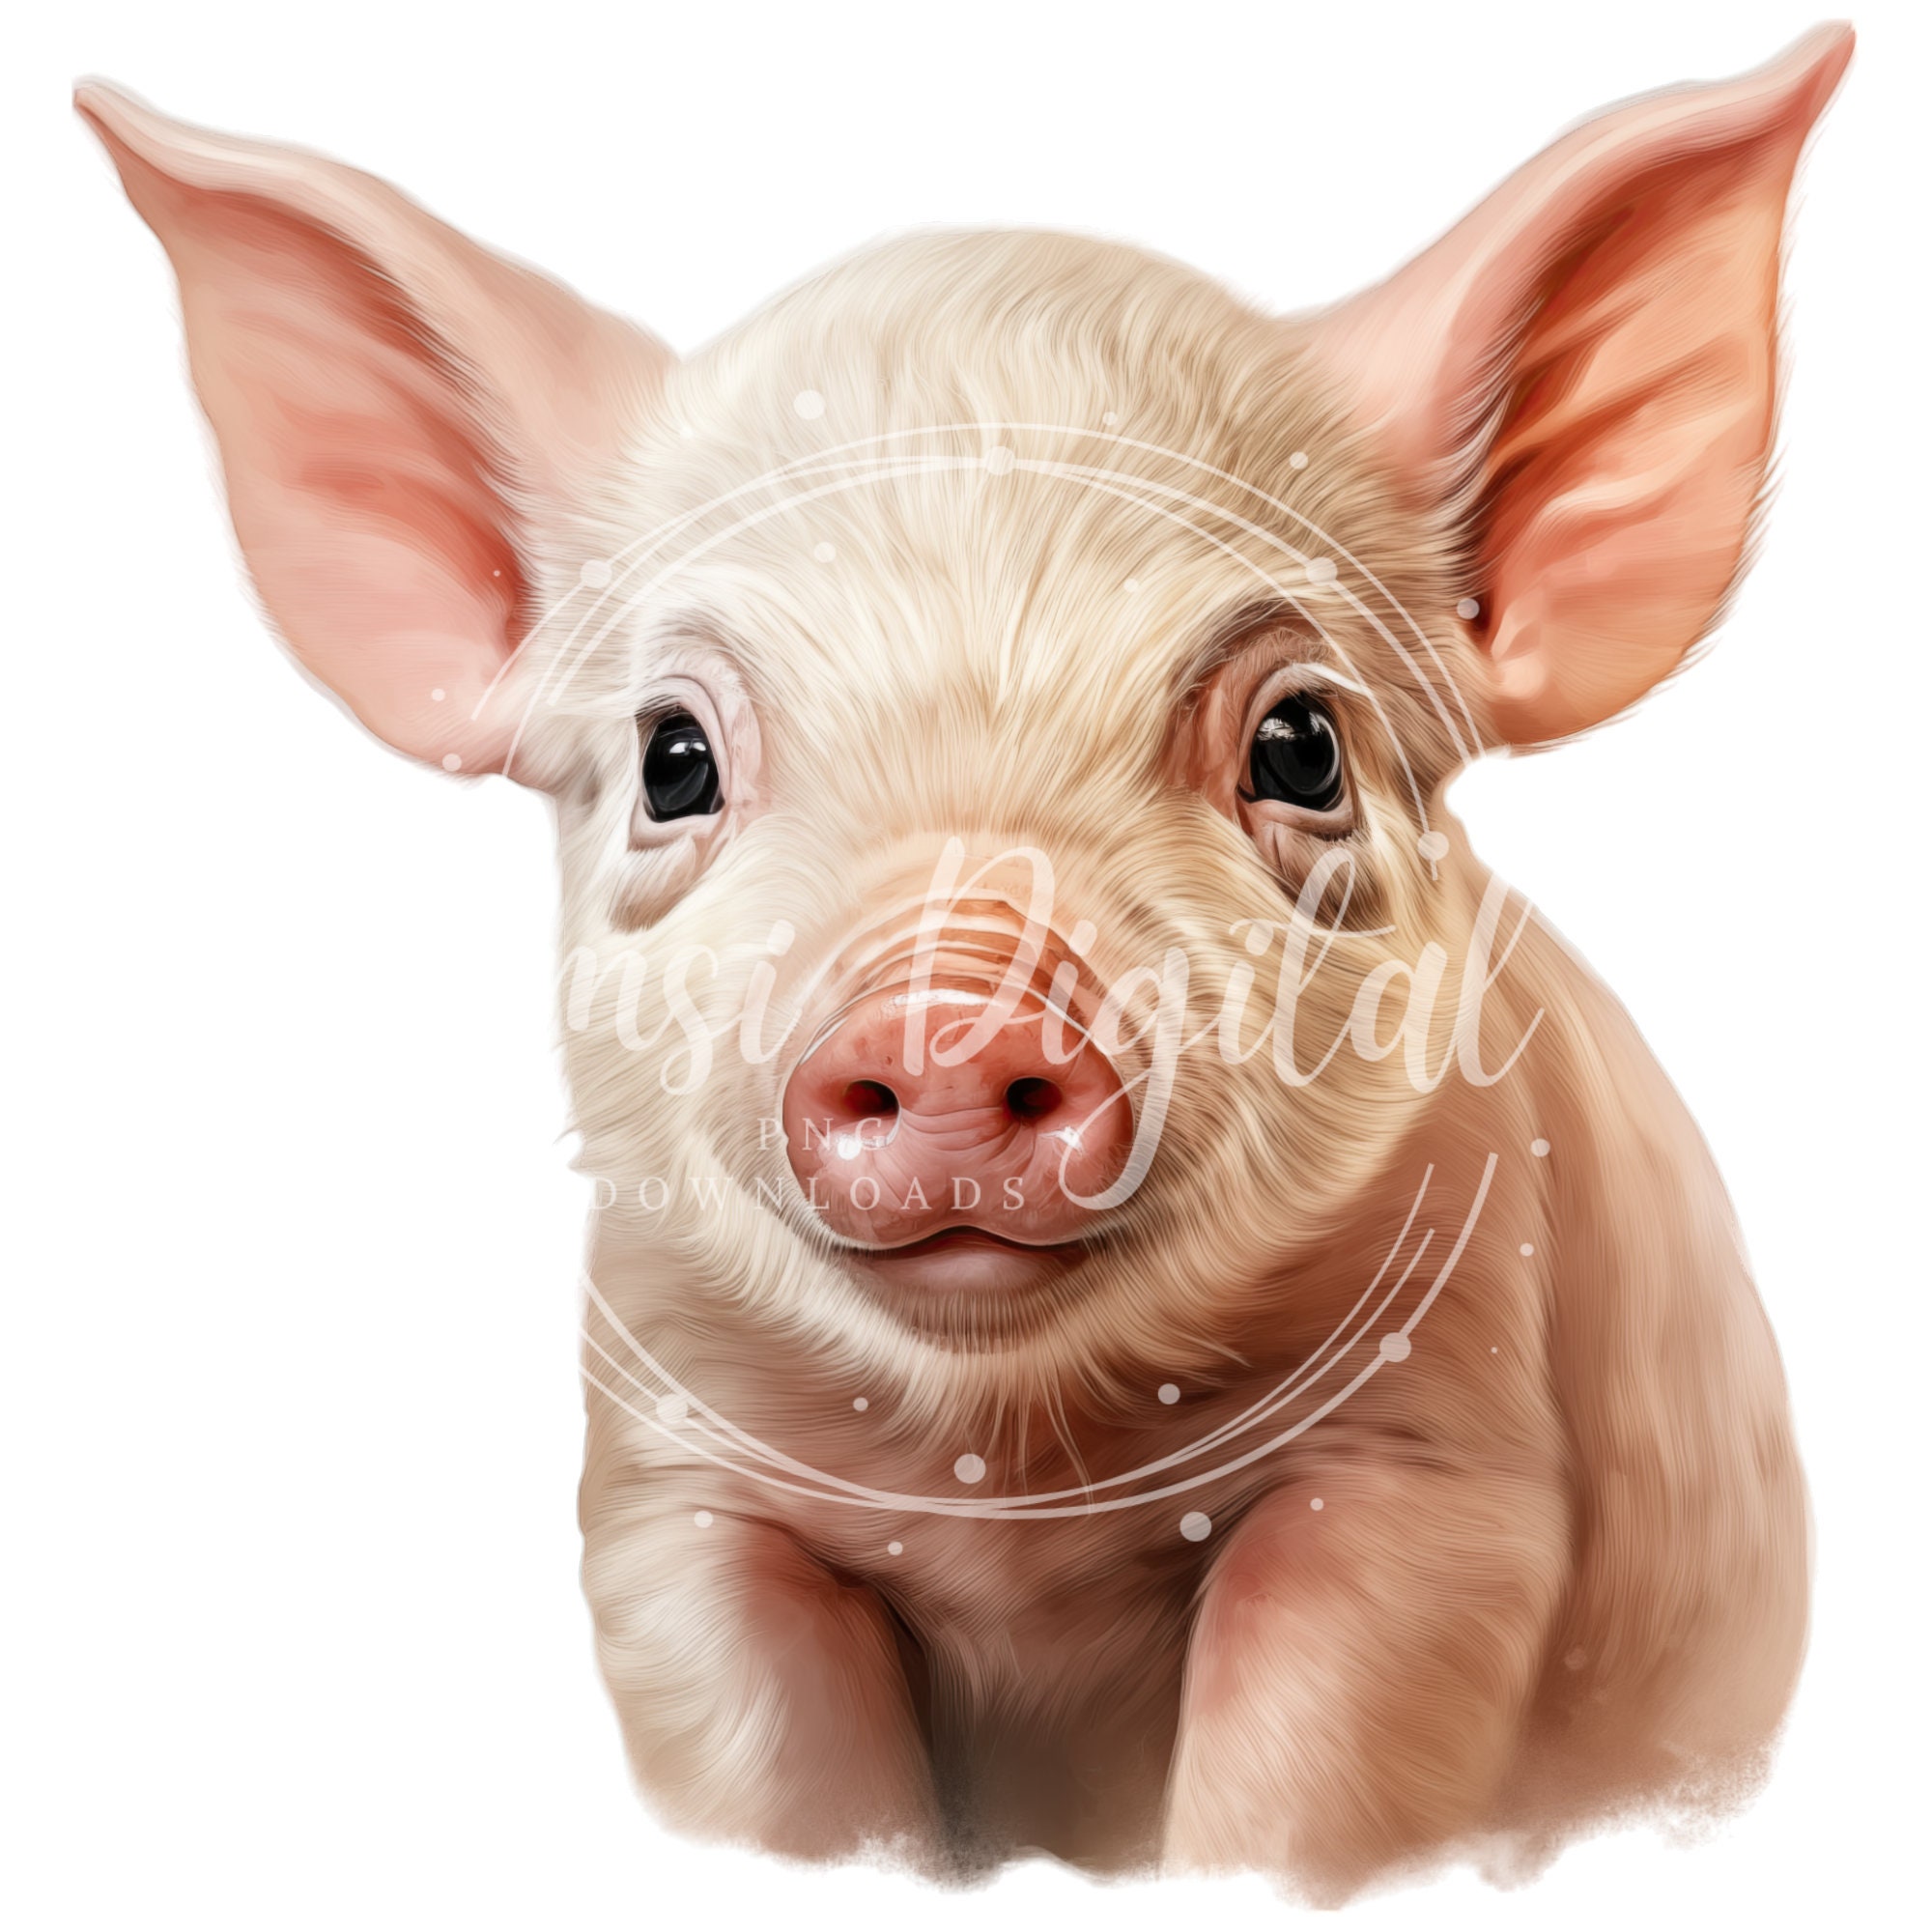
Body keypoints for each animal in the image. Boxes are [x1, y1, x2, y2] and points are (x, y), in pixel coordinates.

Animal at [78, 22, 1851, 1899]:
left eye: (1301, 745)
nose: (952, 1008)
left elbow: (1300, 1786)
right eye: (671, 759)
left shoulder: (1436, 1456)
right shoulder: (673, 1487)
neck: (1003, 1474)